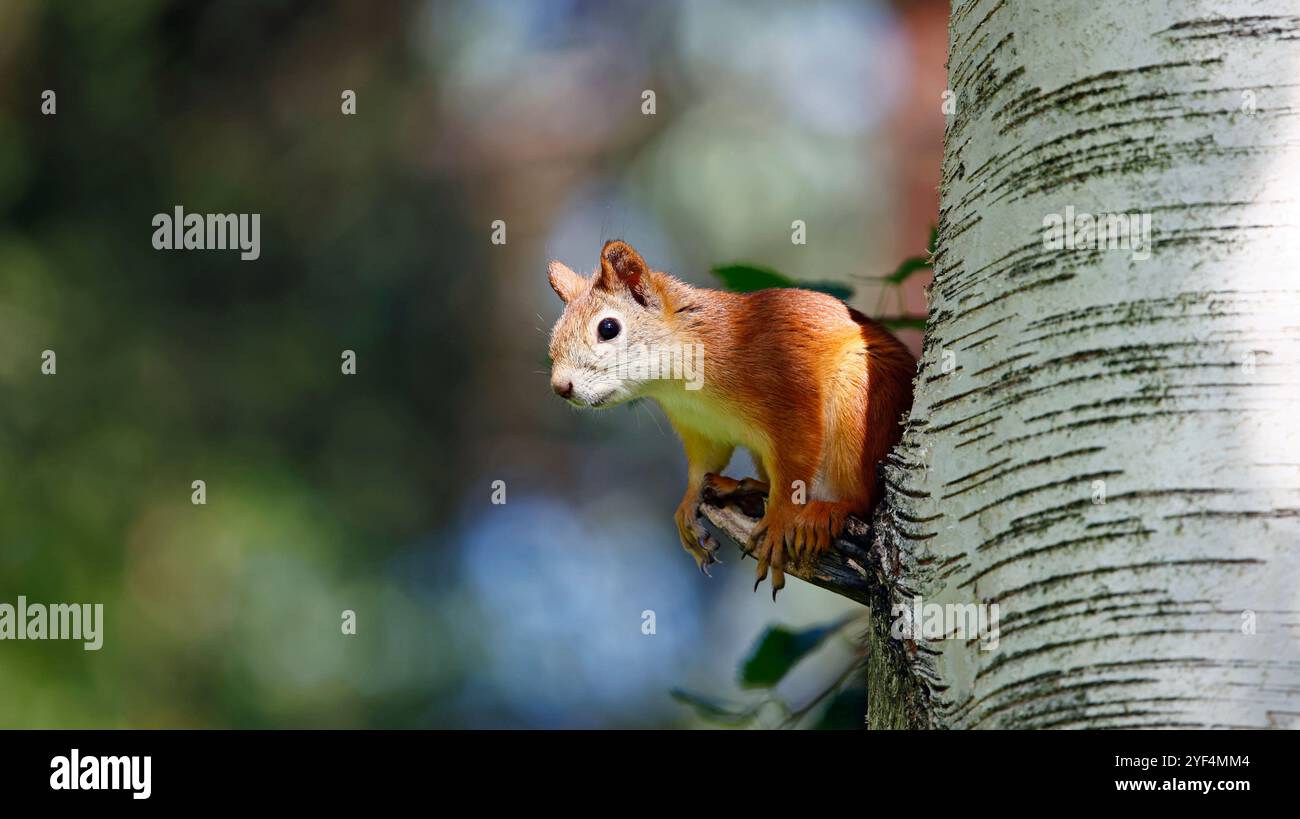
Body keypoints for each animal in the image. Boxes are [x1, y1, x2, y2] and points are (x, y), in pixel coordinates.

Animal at [547, 240, 916, 597]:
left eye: (608, 328)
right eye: (554, 336)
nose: (560, 388)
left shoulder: (791, 394)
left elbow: (796, 463)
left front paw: (780, 519)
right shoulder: (702, 427)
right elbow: (705, 463)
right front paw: (688, 502)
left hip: (858, 403)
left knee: (862, 498)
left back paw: (829, 510)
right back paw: (744, 486)